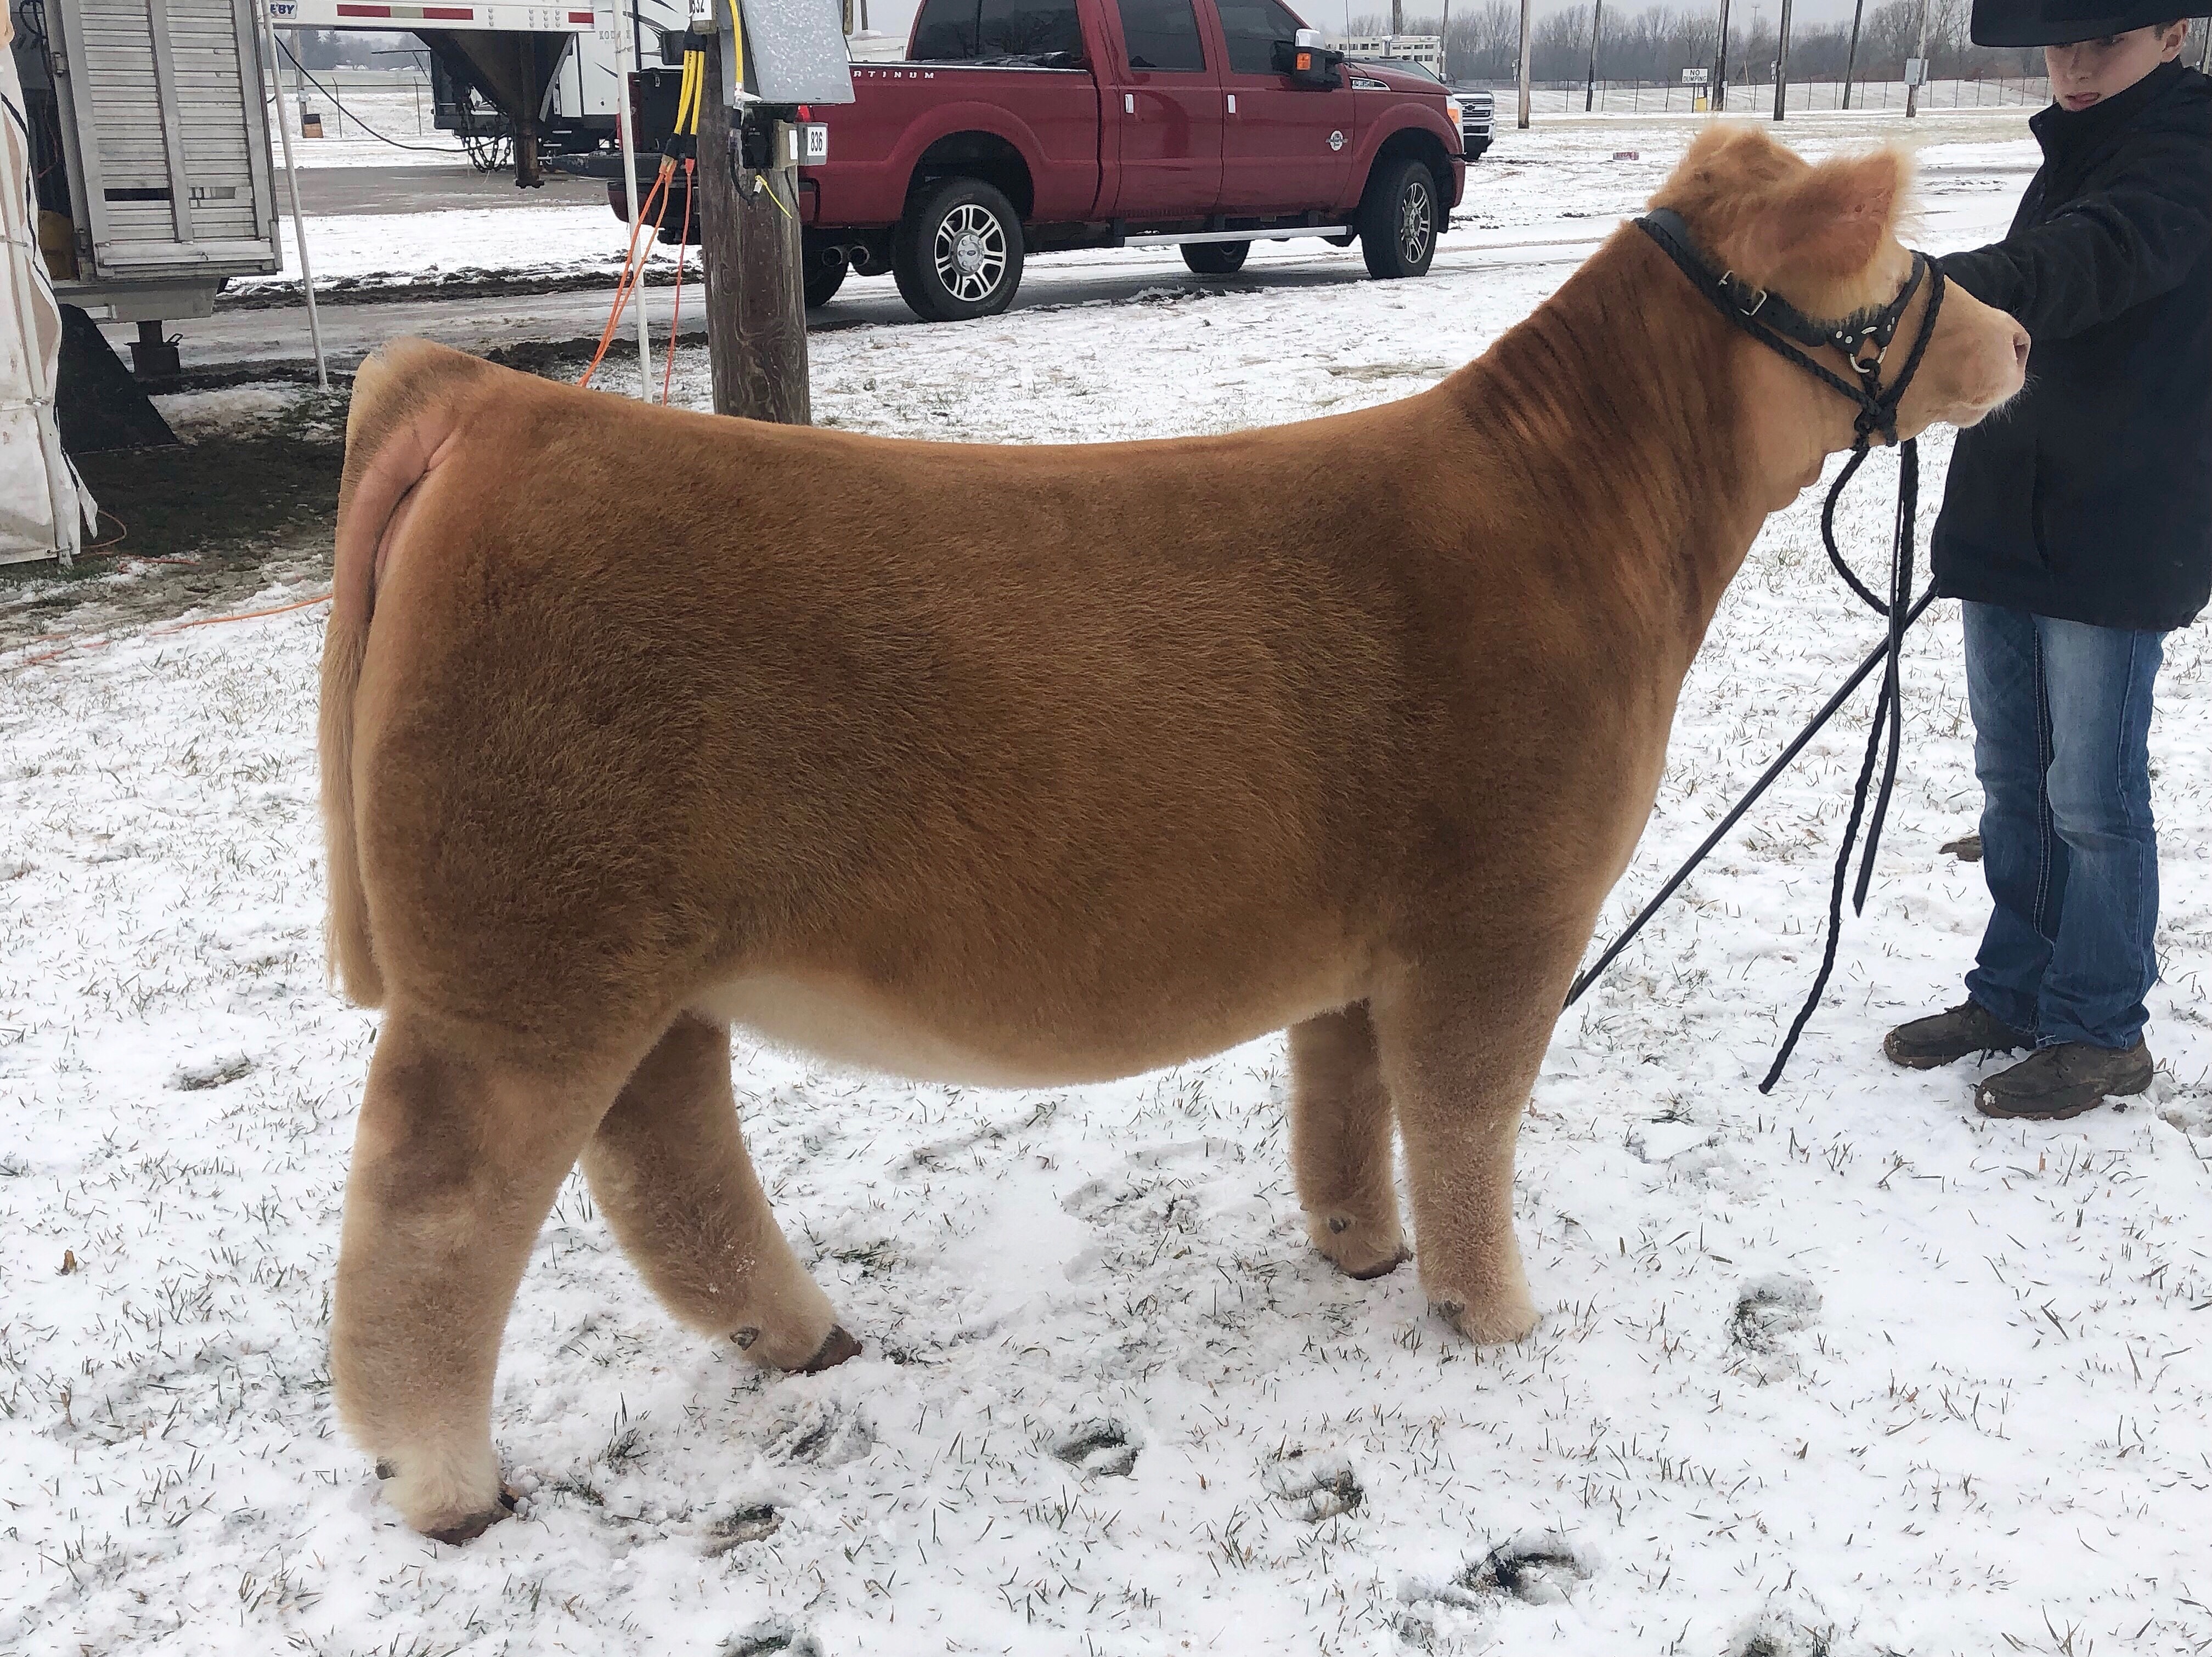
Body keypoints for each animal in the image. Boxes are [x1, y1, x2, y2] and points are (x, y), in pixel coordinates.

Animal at [321, 125, 2029, 1541]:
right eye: (1893, 270)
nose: (2016, 336)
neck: (1579, 516)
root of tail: (497, 403)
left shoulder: (1366, 935)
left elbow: (1347, 1096)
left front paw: (1362, 1252)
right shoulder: (1505, 908)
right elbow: (1465, 1112)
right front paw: (1493, 1316)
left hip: (635, 959)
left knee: (663, 1154)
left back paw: (806, 1337)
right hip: (521, 968)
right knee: (439, 1215)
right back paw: (448, 1483)